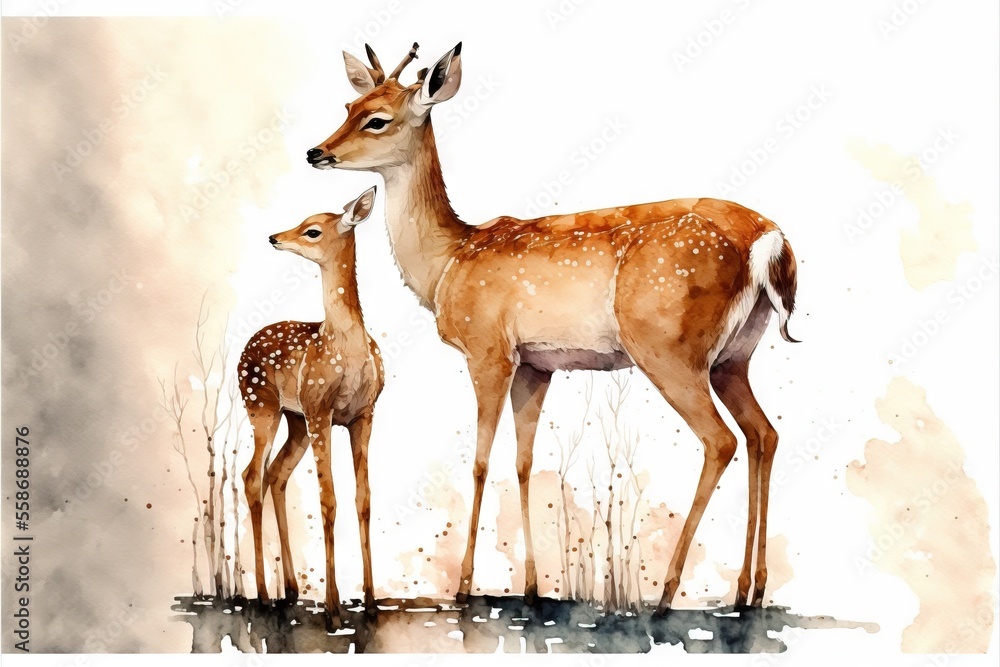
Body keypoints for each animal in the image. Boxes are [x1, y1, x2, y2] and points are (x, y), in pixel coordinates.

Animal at [238, 186, 383, 626]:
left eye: (313, 230)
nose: (275, 237)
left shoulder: (363, 415)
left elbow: (363, 499)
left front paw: (371, 604)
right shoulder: (322, 411)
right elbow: (328, 500)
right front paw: (334, 609)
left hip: (295, 419)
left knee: (275, 475)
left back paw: (289, 590)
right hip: (262, 407)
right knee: (251, 475)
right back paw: (264, 596)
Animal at [306, 43, 798, 615]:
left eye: (378, 119)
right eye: (348, 104)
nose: (316, 152)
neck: (447, 261)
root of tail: (769, 239)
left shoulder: (488, 351)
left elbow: (479, 461)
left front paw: (465, 584)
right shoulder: (536, 365)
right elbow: (522, 461)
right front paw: (531, 584)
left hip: (669, 349)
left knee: (721, 440)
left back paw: (666, 592)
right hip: (733, 356)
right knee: (764, 432)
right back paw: (750, 588)